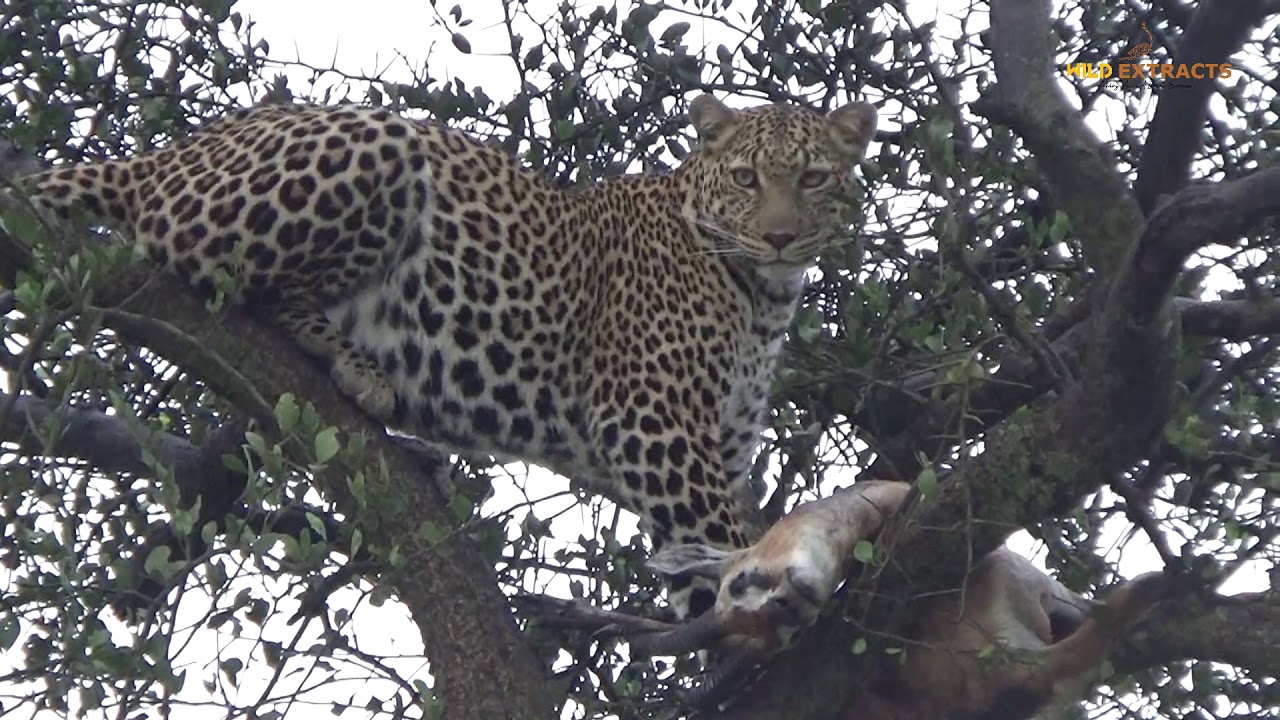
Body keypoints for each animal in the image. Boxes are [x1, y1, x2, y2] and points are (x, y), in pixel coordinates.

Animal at [10, 93, 878, 619]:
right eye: (746, 178)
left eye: (813, 177)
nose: (780, 236)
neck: (765, 295)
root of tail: (161, 155)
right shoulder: (654, 425)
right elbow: (723, 555)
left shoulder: (716, 450)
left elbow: (725, 544)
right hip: (378, 140)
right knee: (240, 287)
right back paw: (364, 375)